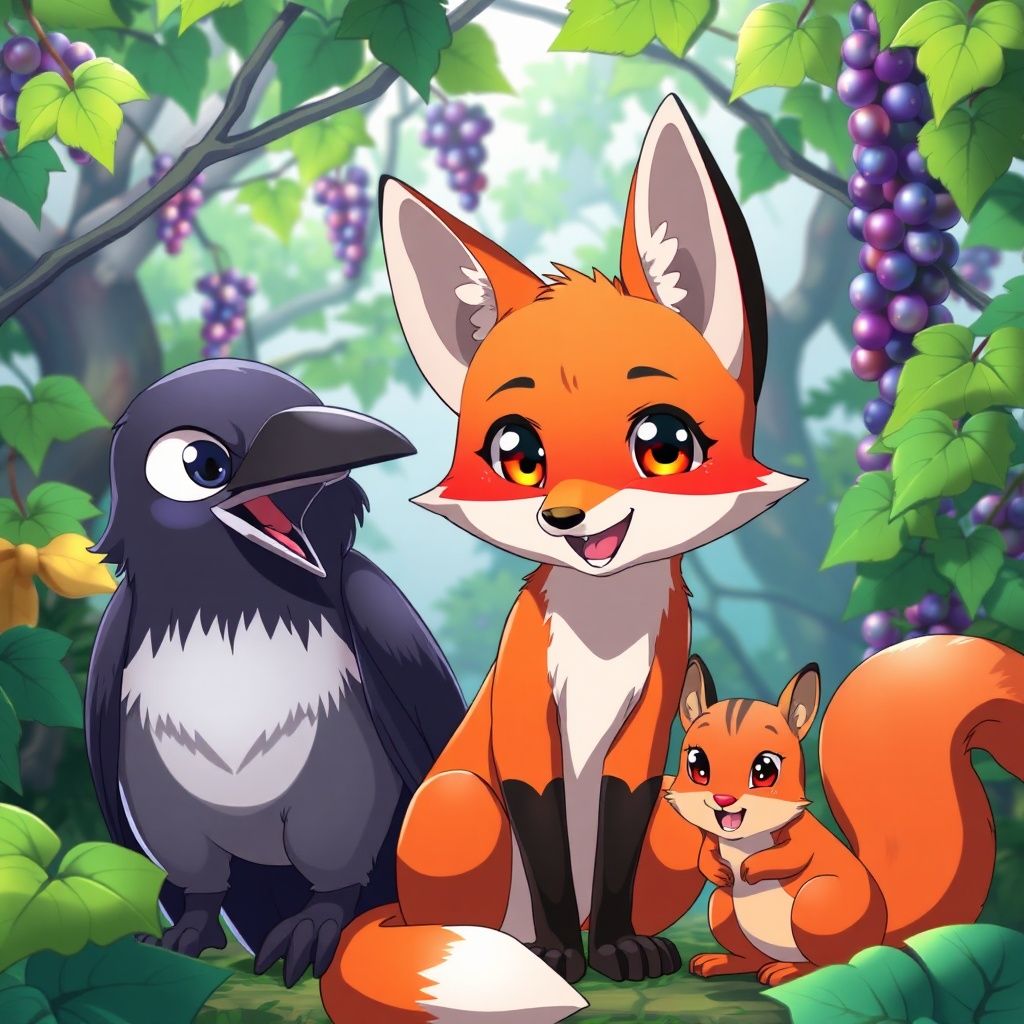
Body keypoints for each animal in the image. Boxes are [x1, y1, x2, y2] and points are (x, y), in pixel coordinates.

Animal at [320, 95, 805, 1023]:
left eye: (663, 444)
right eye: (518, 455)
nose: (564, 515)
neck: (603, 632)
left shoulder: (647, 734)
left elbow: (615, 838)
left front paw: (616, 950)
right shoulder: (523, 718)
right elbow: (542, 831)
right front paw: (555, 959)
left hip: (677, 823)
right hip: (460, 802)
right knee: (464, 920)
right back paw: (509, 950)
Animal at [667, 635, 1024, 988]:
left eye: (765, 770)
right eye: (696, 764)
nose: (723, 799)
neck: (742, 840)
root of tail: (878, 935)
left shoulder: (805, 838)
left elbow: (794, 855)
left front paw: (751, 869)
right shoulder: (715, 838)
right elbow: (705, 850)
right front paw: (718, 869)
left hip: (816, 905)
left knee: (833, 962)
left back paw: (788, 971)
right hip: (723, 907)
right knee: (755, 952)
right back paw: (722, 962)